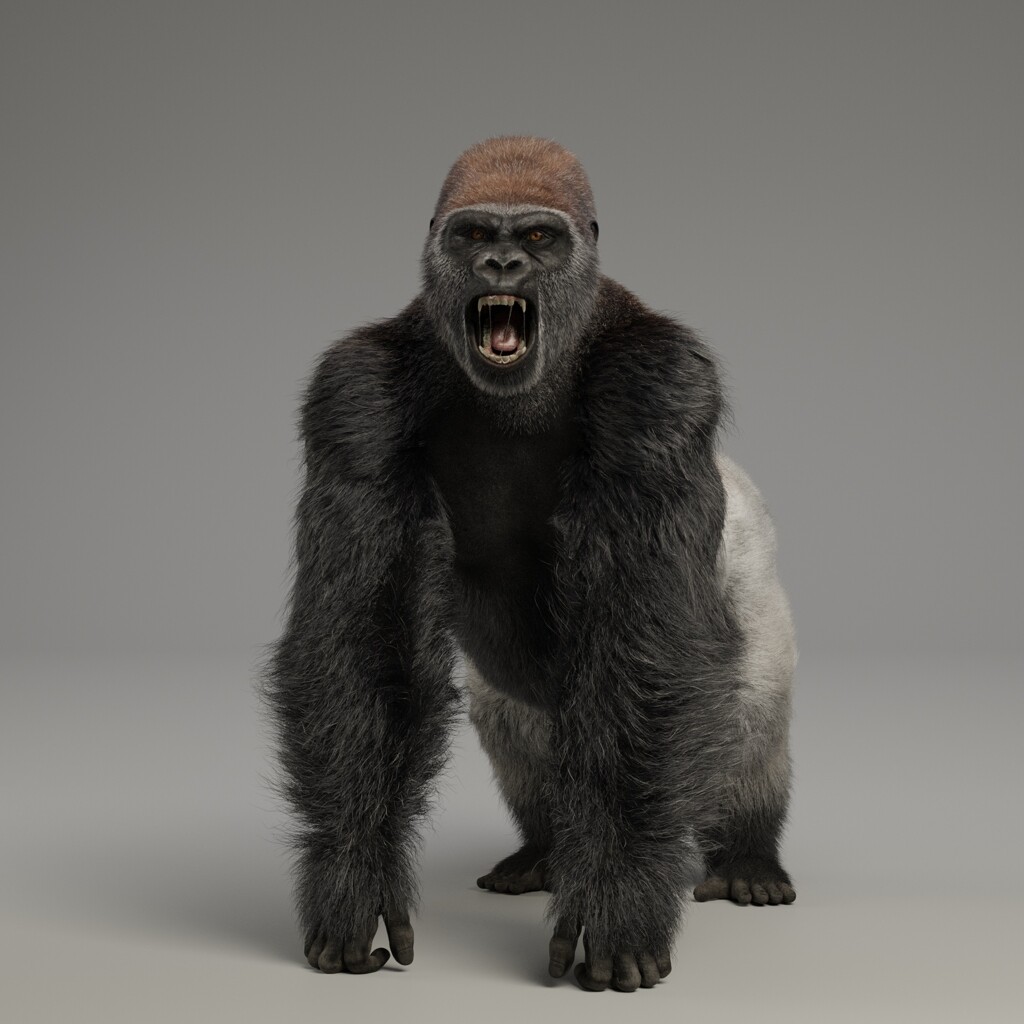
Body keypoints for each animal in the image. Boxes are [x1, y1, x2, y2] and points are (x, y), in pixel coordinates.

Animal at [263, 136, 796, 994]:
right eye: (476, 235)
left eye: (540, 238)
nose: (504, 264)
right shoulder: (354, 395)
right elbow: (363, 649)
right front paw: (353, 874)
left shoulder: (661, 385)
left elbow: (649, 654)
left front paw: (618, 892)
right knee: (522, 736)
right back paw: (545, 851)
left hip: (757, 584)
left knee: (750, 721)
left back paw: (748, 854)